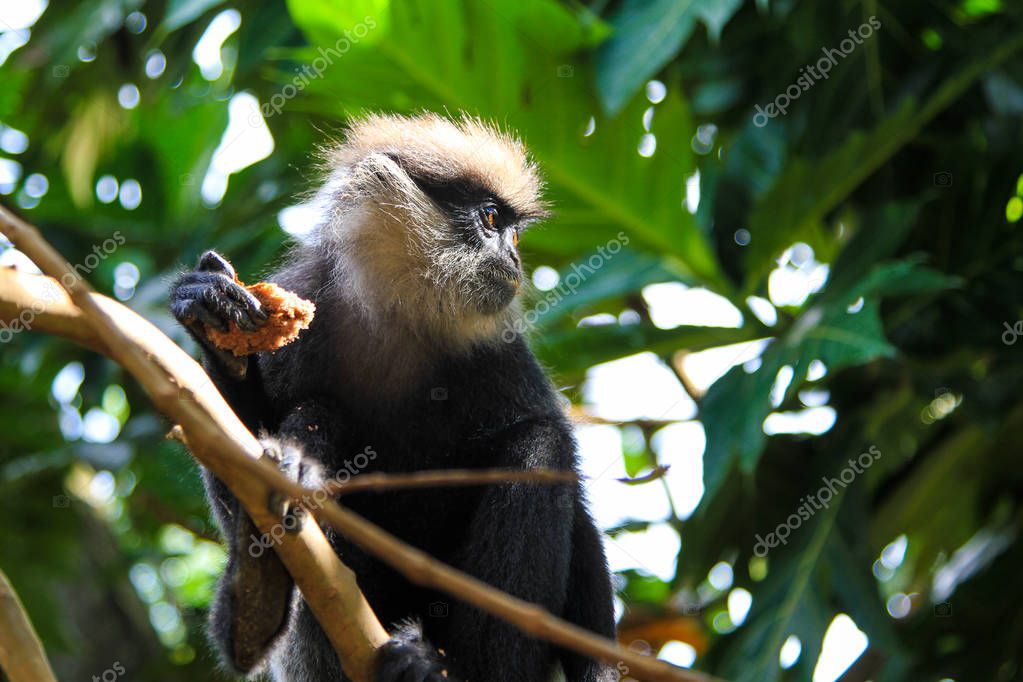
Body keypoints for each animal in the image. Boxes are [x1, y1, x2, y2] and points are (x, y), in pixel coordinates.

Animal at [170, 113, 616, 681]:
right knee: (322, 413)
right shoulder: (308, 298)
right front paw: (216, 325)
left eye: (514, 232)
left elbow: (574, 507)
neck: (399, 322)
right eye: (492, 219)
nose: (514, 256)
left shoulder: (503, 354)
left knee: (541, 445)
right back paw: (260, 593)